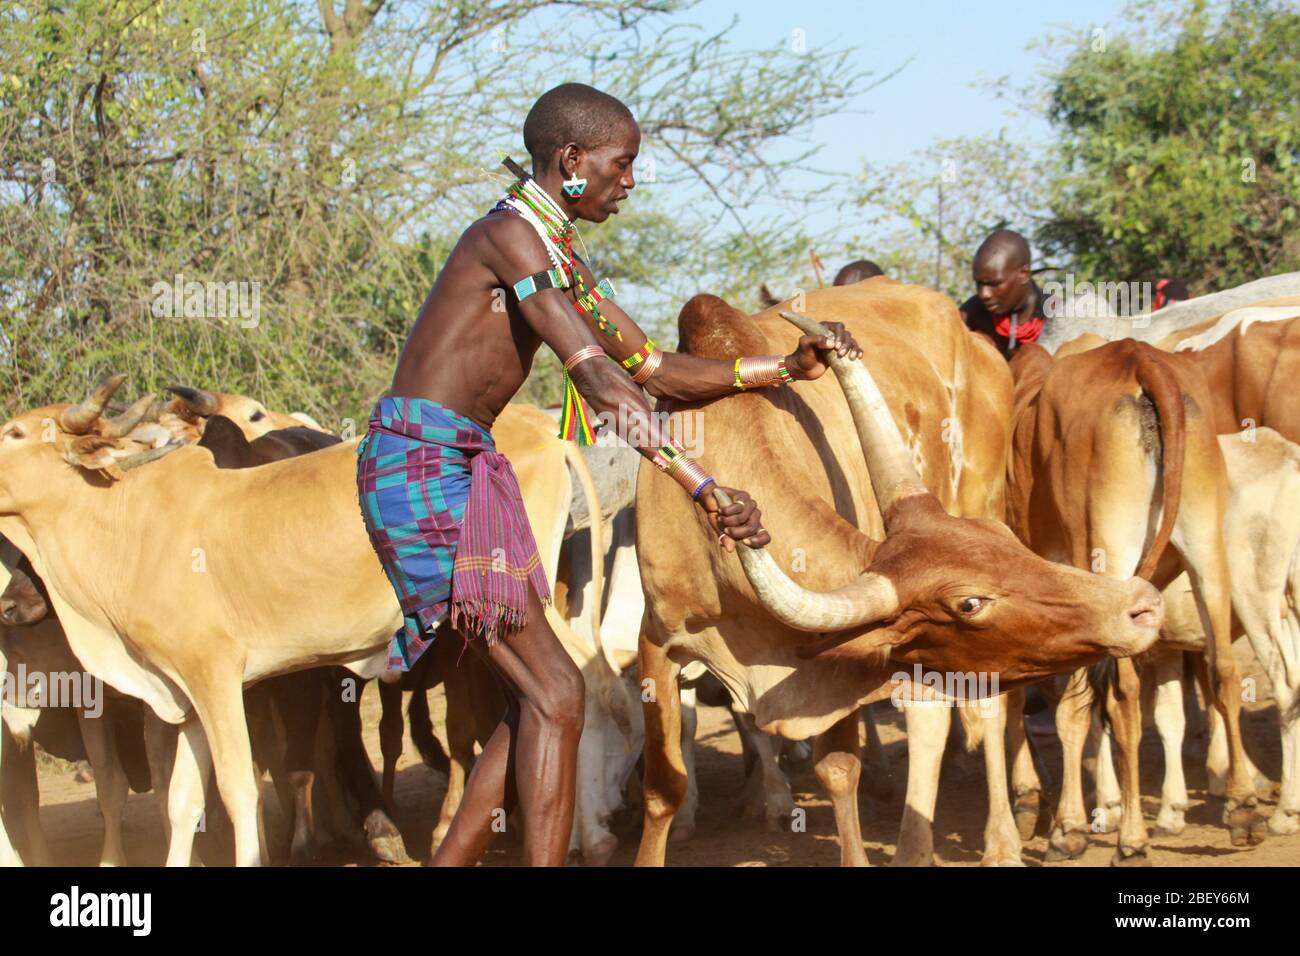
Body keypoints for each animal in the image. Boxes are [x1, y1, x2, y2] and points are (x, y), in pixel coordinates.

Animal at [631, 281, 1163, 868]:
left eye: (1005, 541)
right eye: (969, 603)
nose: (1141, 605)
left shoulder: (841, 665)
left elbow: (840, 770)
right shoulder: (658, 643)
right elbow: (662, 791)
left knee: (977, 711)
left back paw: (995, 840)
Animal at [1006, 338, 1266, 864]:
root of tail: (1140, 360)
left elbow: (1053, 705)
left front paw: (1057, 819)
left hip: (1108, 555)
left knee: (1122, 695)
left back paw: (1131, 839)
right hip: (1206, 546)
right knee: (1224, 670)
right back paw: (1244, 810)